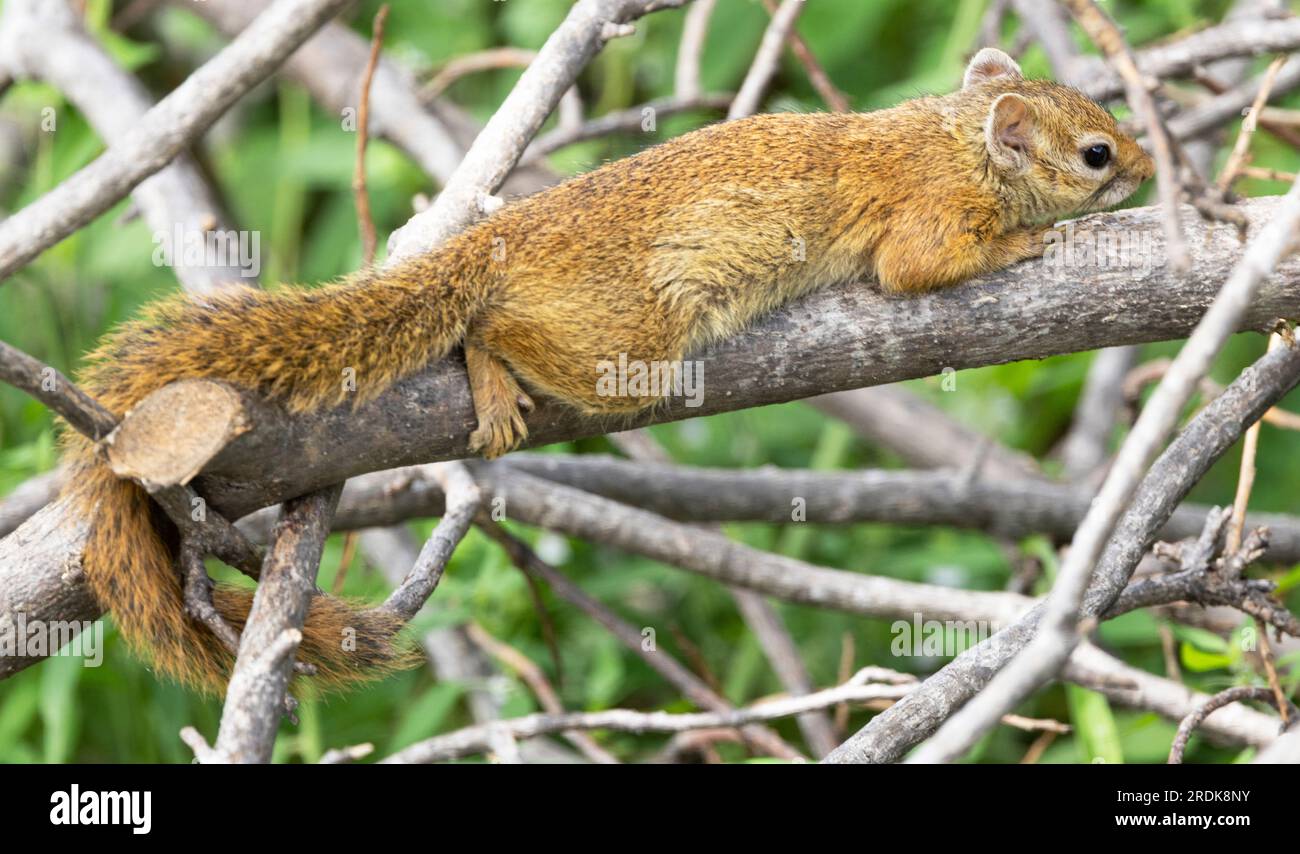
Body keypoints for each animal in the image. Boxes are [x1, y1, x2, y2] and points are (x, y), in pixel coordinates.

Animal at [63, 48, 1153, 694]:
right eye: (1097, 151)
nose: (1149, 166)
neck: (948, 139)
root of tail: (495, 240)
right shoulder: (922, 219)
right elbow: (921, 267)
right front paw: (1027, 244)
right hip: (631, 345)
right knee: (497, 328)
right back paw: (492, 370)